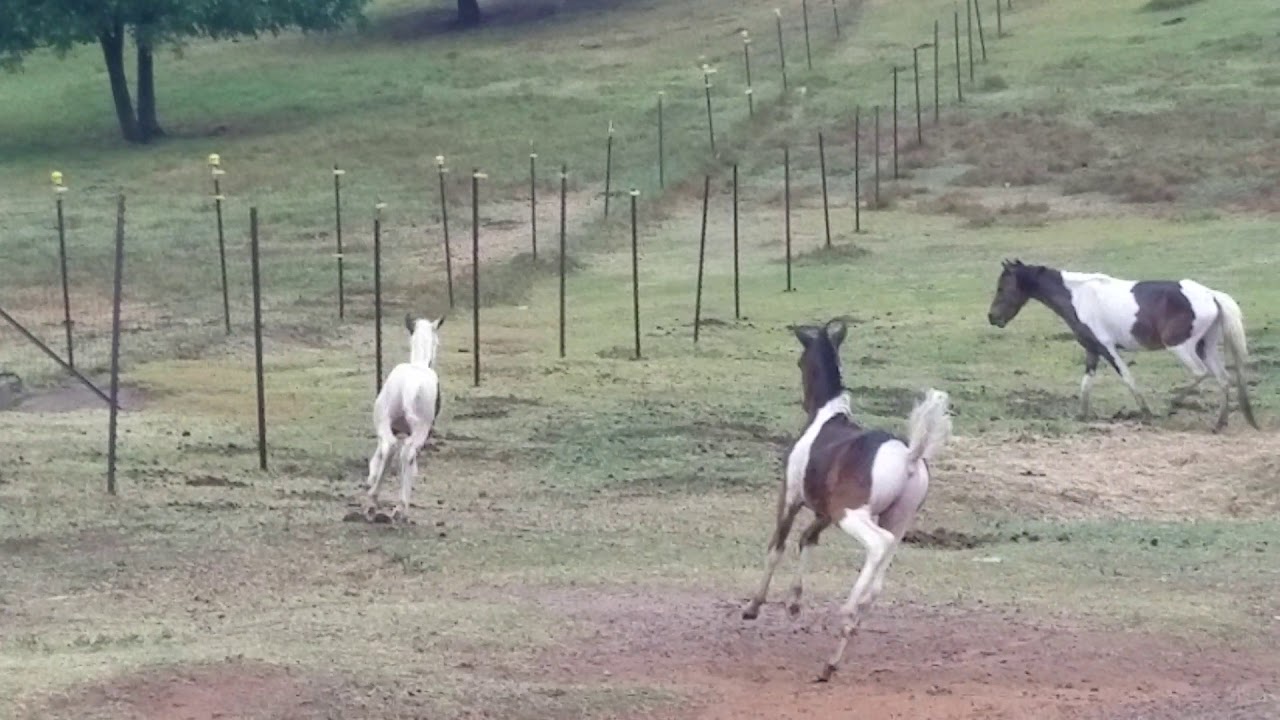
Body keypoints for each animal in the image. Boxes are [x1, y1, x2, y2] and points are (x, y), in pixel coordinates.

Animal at [364, 314, 445, 521]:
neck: (418, 364)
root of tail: (410, 386)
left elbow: (377, 457)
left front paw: (371, 478)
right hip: (419, 430)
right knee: (406, 453)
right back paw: (400, 507)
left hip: (385, 423)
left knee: (390, 447)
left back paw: (373, 501)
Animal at [742, 317, 953, 683]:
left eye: (800, 361)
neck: (827, 417)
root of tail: (909, 457)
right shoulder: (823, 512)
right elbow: (807, 539)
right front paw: (794, 604)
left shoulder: (792, 497)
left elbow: (777, 546)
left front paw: (754, 606)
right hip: (897, 520)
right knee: (879, 578)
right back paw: (836, 653)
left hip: (853, 516)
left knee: (877, 546)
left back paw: (846, 614)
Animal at [986, 259, 1258, 431]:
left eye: (1002, 287)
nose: (992, 318)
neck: (1078, 296)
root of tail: (1211, 295)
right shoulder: (1092, 350)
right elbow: (1086, 384)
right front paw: (1081, 416)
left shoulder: (1108, 348)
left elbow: (1127, 378)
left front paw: (1146, 413)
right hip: (1206, 346)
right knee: (1223, 379)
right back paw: (1219, 424)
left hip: (1181, 347)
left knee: (1201, 373)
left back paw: (1171, 405)